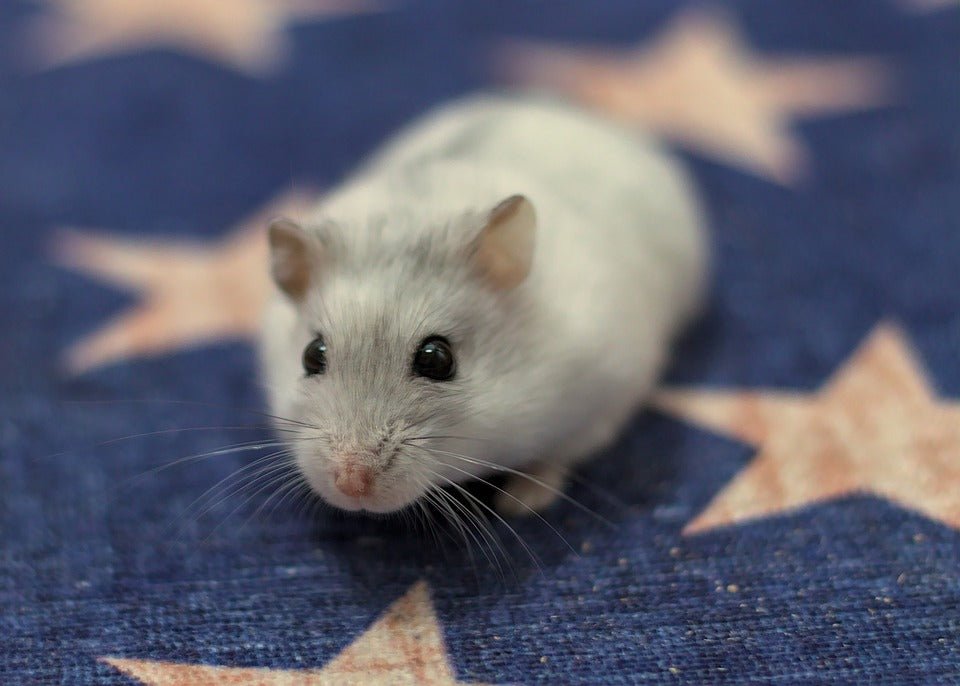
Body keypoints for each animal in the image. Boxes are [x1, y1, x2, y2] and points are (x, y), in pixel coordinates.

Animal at [258, 94, 708, 516]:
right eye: (311, 355)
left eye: (437, 359)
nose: (352, 485)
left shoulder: (610, 393)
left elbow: (556, 457)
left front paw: (520, 503)